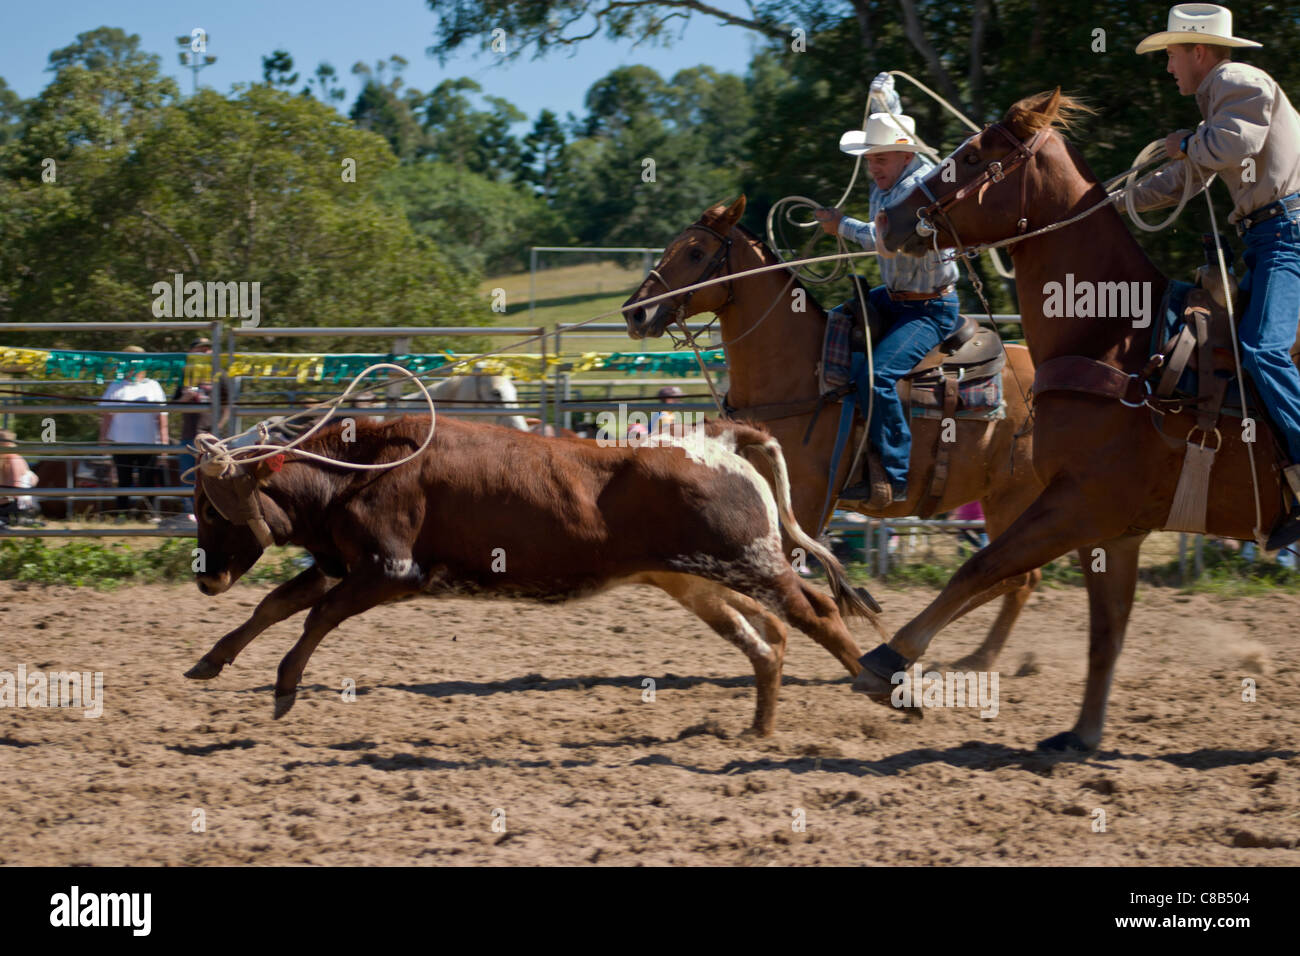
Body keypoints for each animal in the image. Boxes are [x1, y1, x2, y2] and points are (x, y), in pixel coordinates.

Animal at [185, 415, 884, 736]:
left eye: (210, 509)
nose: (206, 581)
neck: (363, 468)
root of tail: (716, 440)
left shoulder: (391, 572)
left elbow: (316, 615)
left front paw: (284, 685)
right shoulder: (339, 566)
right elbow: (278, 604)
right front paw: (209, 661)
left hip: (749, 559)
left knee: (816, 611)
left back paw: (882, 686)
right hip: (696, 579)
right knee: (763, 638)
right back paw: (760, 725)